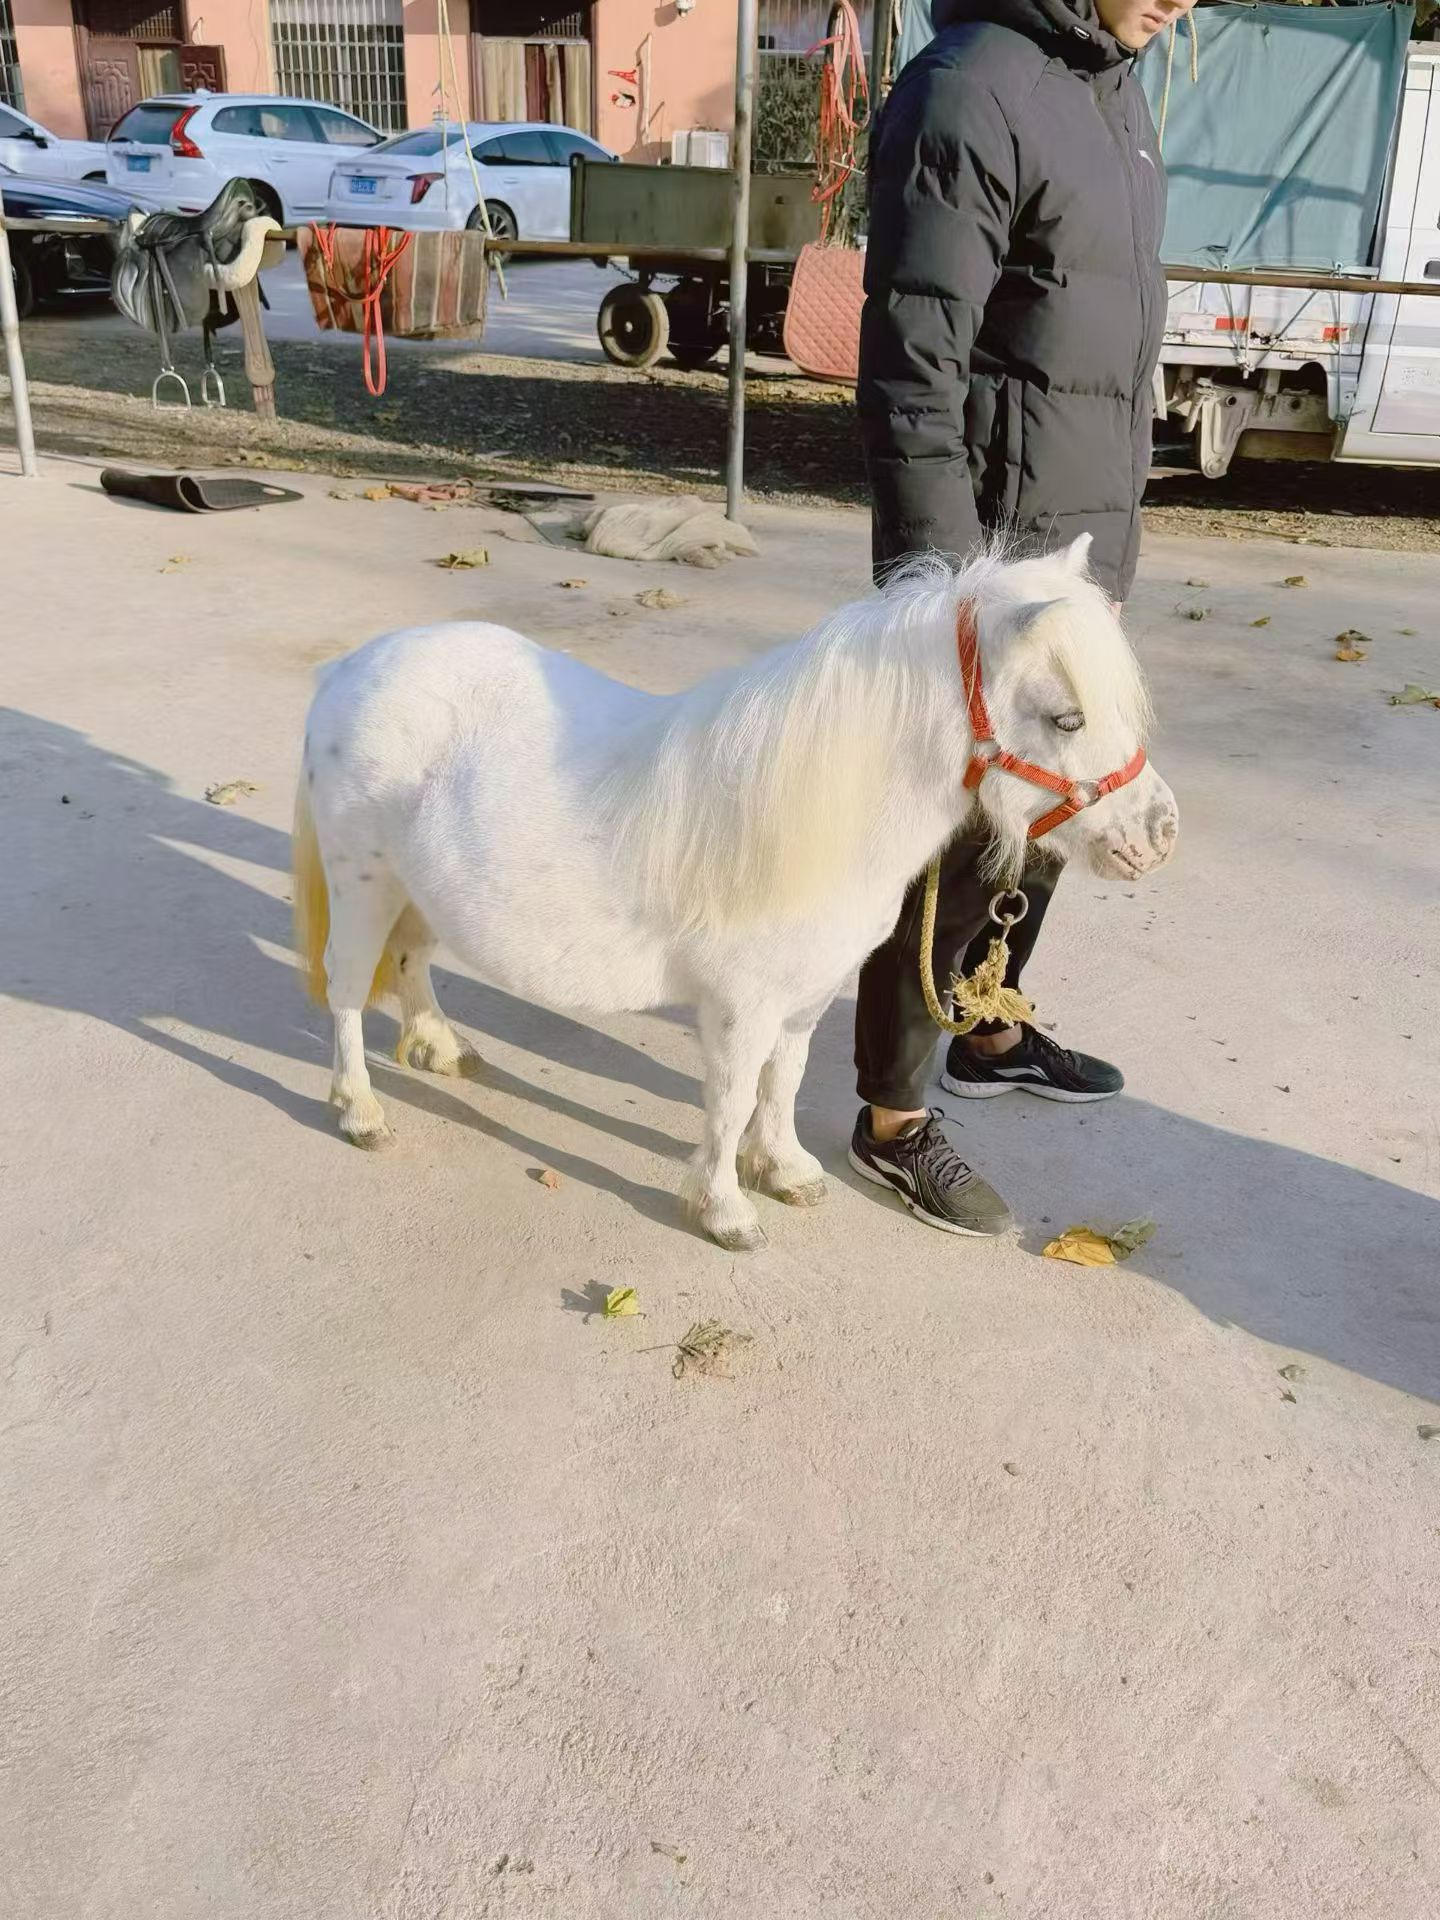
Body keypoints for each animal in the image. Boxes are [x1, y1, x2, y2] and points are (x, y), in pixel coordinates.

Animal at [292, 536, 1178, 1250]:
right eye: (1066, 719)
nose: (1160, 831)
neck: (814, 815)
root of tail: (351, 669)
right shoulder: (739, 1006)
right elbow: (730, 1096)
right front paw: (725, 1212)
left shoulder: (804, 997)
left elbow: (782, 1082)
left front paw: (784, 1171)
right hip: (363, 882)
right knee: (347, 986)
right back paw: (360, 1111)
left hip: (417, 888)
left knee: (411, 962)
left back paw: (441, 1048)